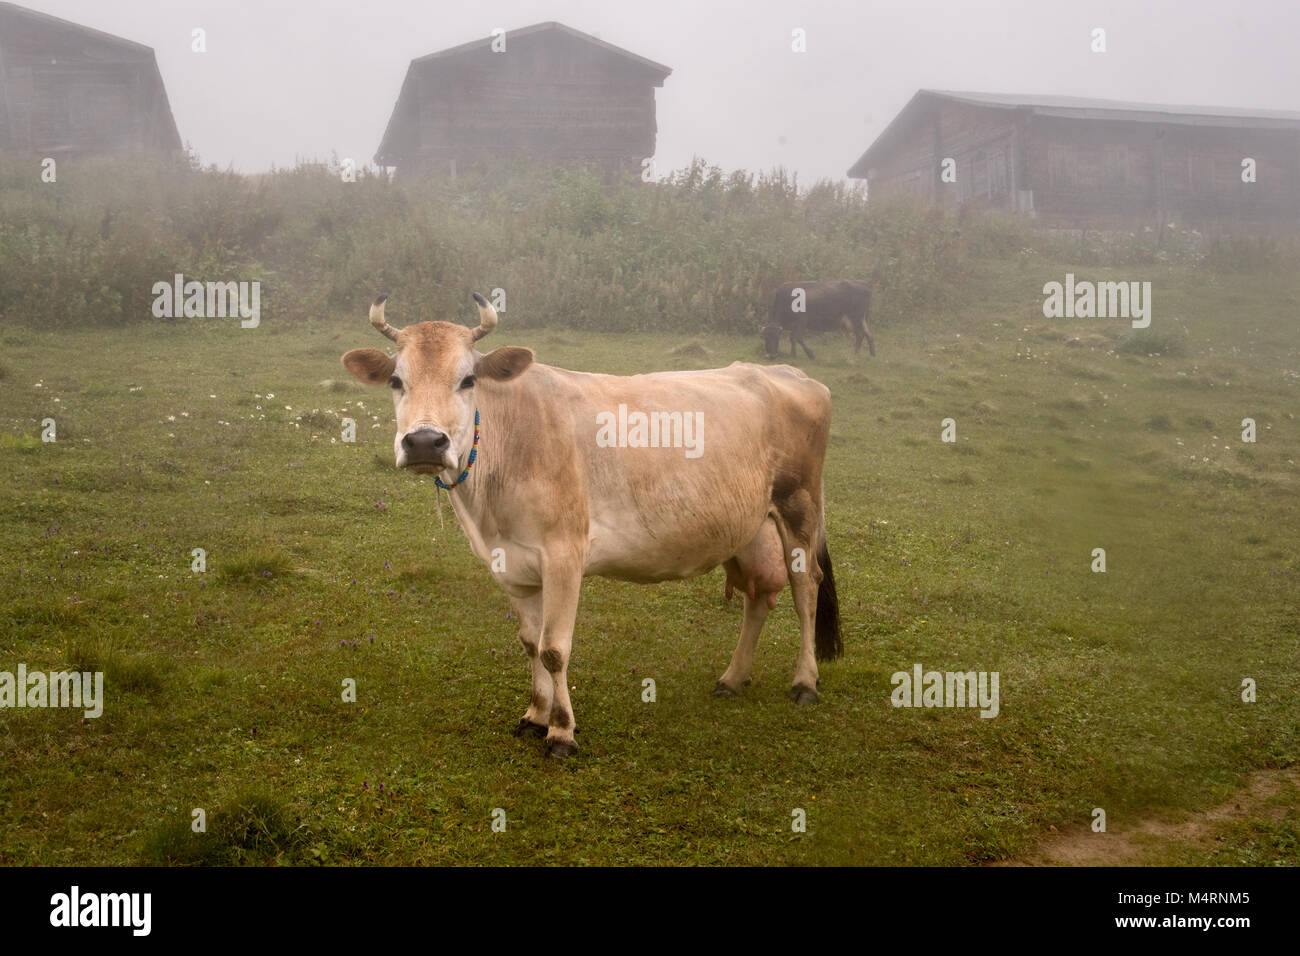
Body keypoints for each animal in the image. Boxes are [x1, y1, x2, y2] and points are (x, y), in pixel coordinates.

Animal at [341, 293, 843, 758]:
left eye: (467, 379)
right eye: (396, 380)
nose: (425, 441)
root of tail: (791, 374)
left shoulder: (564, 552)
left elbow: (554, 648)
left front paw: (562, 732)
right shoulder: (510, 563)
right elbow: (530, 642)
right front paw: (535, 715)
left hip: (798, 507)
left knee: (806, 588)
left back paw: (805, 682)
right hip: (751, 527)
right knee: (758, 595)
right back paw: (733, 678)